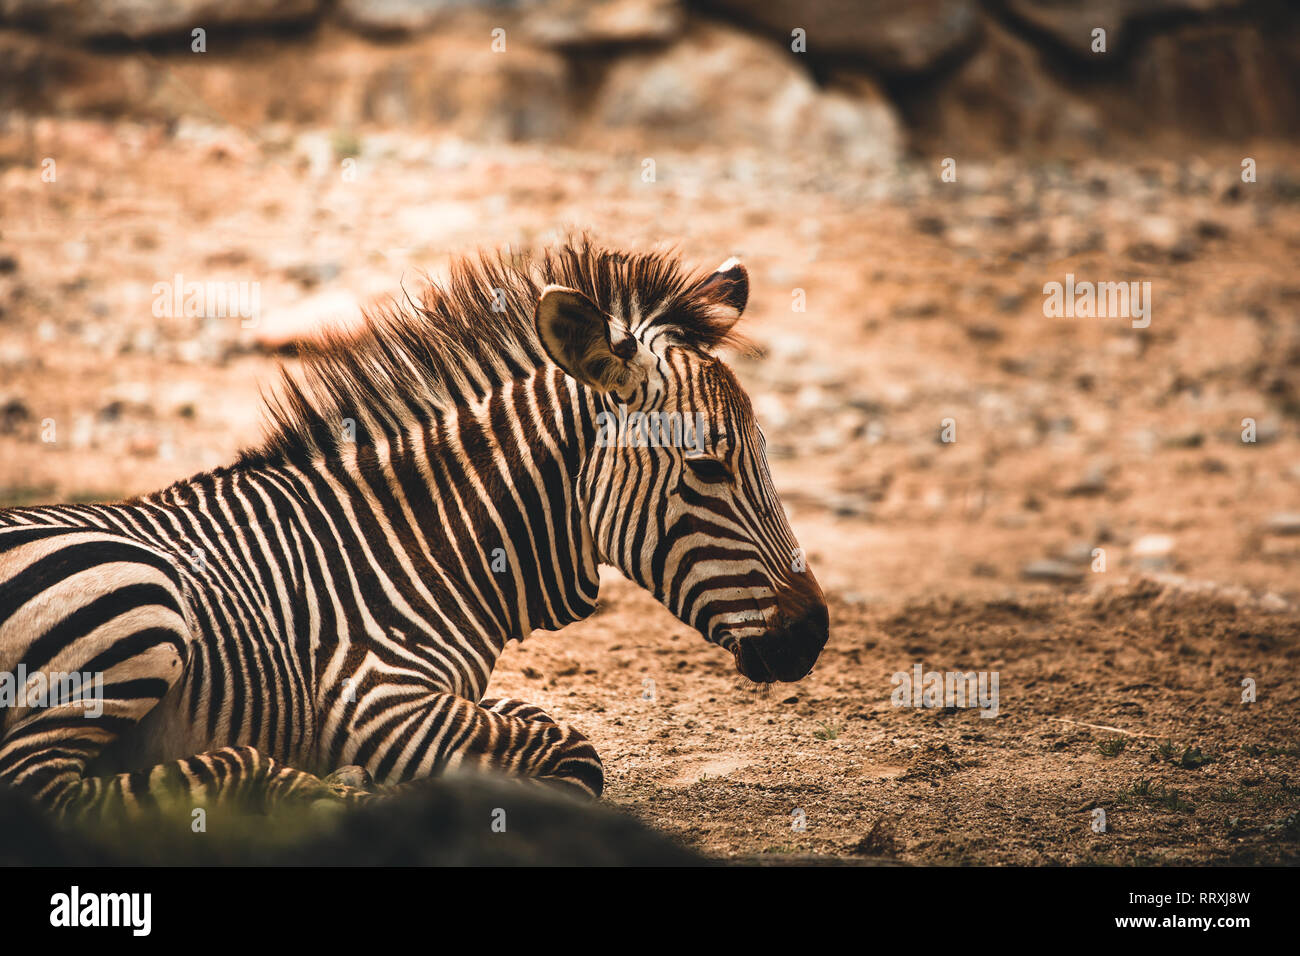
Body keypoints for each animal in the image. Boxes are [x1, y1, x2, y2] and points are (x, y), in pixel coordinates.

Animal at [0, 236, 829, 817]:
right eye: (708, 468)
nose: (815, 635)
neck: (413, 545)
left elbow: (544, 723)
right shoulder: (380, 700)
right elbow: (574, 754)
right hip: (135, 601)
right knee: (40, 793)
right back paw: (303, 787)